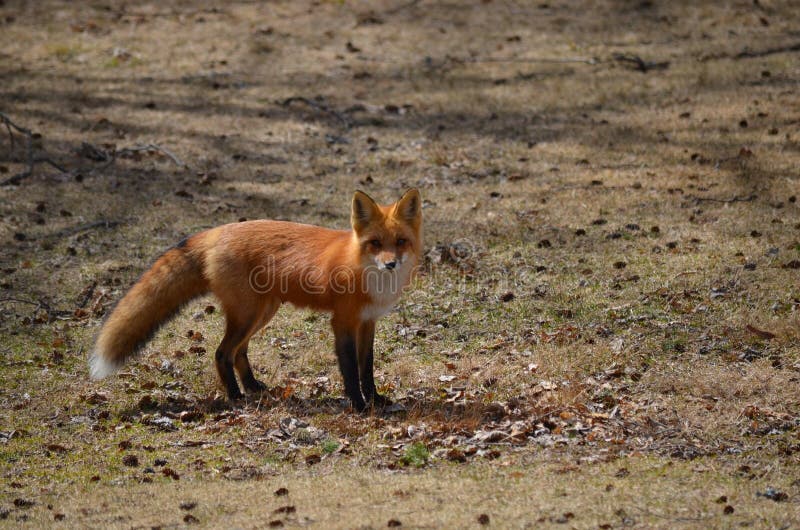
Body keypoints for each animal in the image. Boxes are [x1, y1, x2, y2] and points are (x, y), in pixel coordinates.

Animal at [89, 189, 422, 412]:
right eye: (375, 243)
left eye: (400, 242)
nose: (391, 264)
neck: (360, 268)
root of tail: (217, 231)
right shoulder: (342, 322)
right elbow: (351, 370)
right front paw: (360, 406)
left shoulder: (367, 322)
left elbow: (367, 367)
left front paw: (376, 399)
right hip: (248, 314)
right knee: (222, 353)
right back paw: (236, 396)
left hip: (262, 313)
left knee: (238, 353)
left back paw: (252, 387)